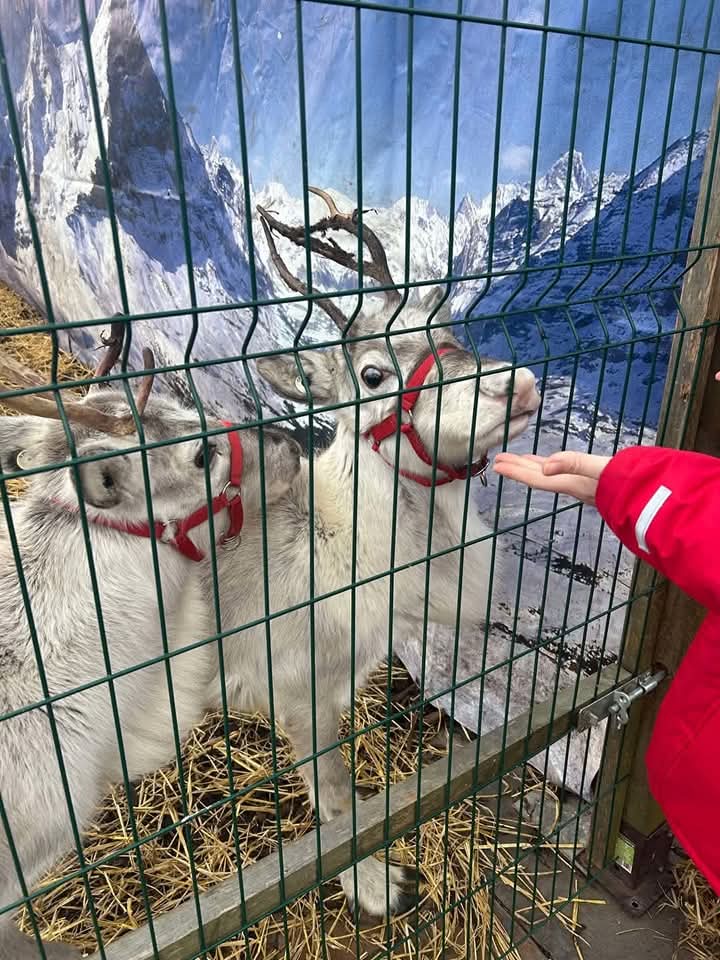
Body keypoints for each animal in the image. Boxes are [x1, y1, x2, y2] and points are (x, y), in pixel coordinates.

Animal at [206, 190, 542, 919]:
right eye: (371, 372)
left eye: (450, 327)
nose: (518, 384)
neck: (342, 543)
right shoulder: (296, 691)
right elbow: (335, 801)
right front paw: (378, 887)